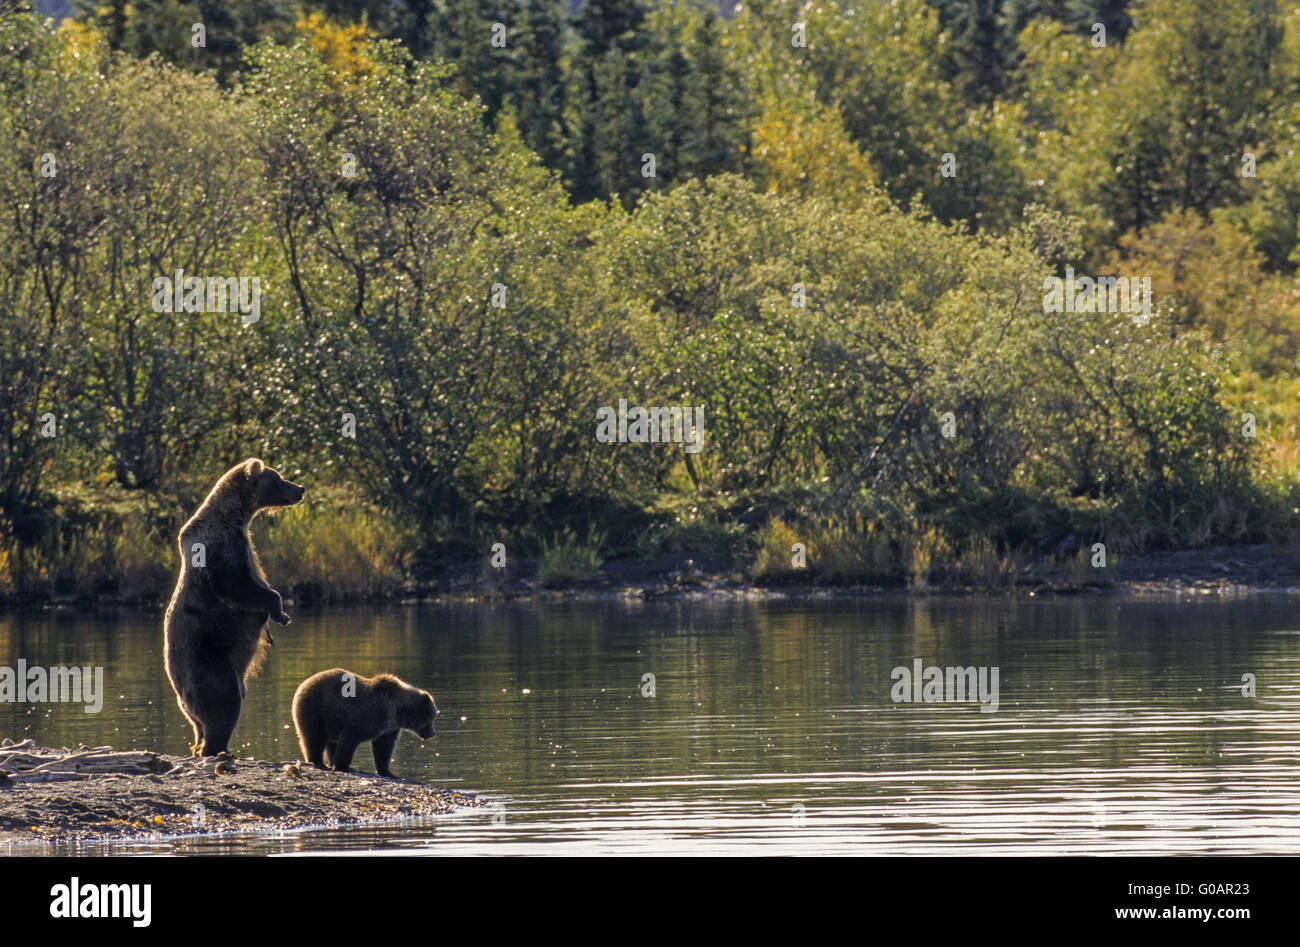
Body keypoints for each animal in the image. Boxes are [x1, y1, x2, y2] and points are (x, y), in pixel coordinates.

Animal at [163, 458, 305, 757]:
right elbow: (238, 585)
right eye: (278, 478)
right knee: (223, 703)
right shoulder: (219, 549)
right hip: (208, 663)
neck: (235, 517)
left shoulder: (244, 543)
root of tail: (182, 699)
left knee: (203, 722)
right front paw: (281, 612)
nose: (300, 488)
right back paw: (217, 748)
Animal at [291, 668, 438, 778]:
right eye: (431, 718)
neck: (397, 711)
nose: (432, 733)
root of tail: (304, 683)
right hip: (315, 709)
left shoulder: (388, 728)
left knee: (331, 742)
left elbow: (384, 748)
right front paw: (343, 766)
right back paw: (319, 762)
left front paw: (388, 772)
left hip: (330, 720)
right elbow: (349, 739)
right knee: (314, 737)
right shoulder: (367, 715)